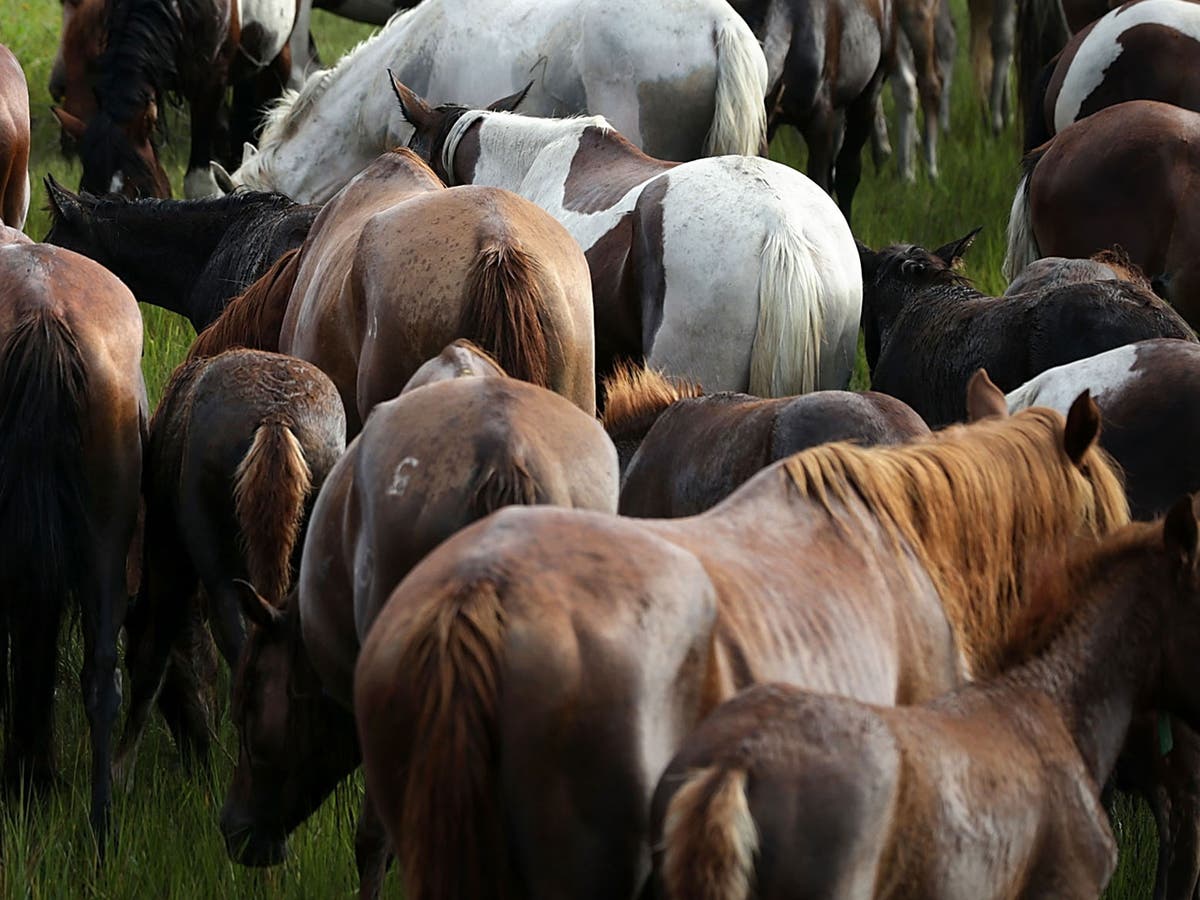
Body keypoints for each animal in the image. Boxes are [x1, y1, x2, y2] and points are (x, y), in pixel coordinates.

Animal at [112, 348, 345, 781]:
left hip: (219, 576)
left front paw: (120, 768)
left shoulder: (170, 563)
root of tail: (276, 419)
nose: (197, 753)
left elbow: (153, 661)